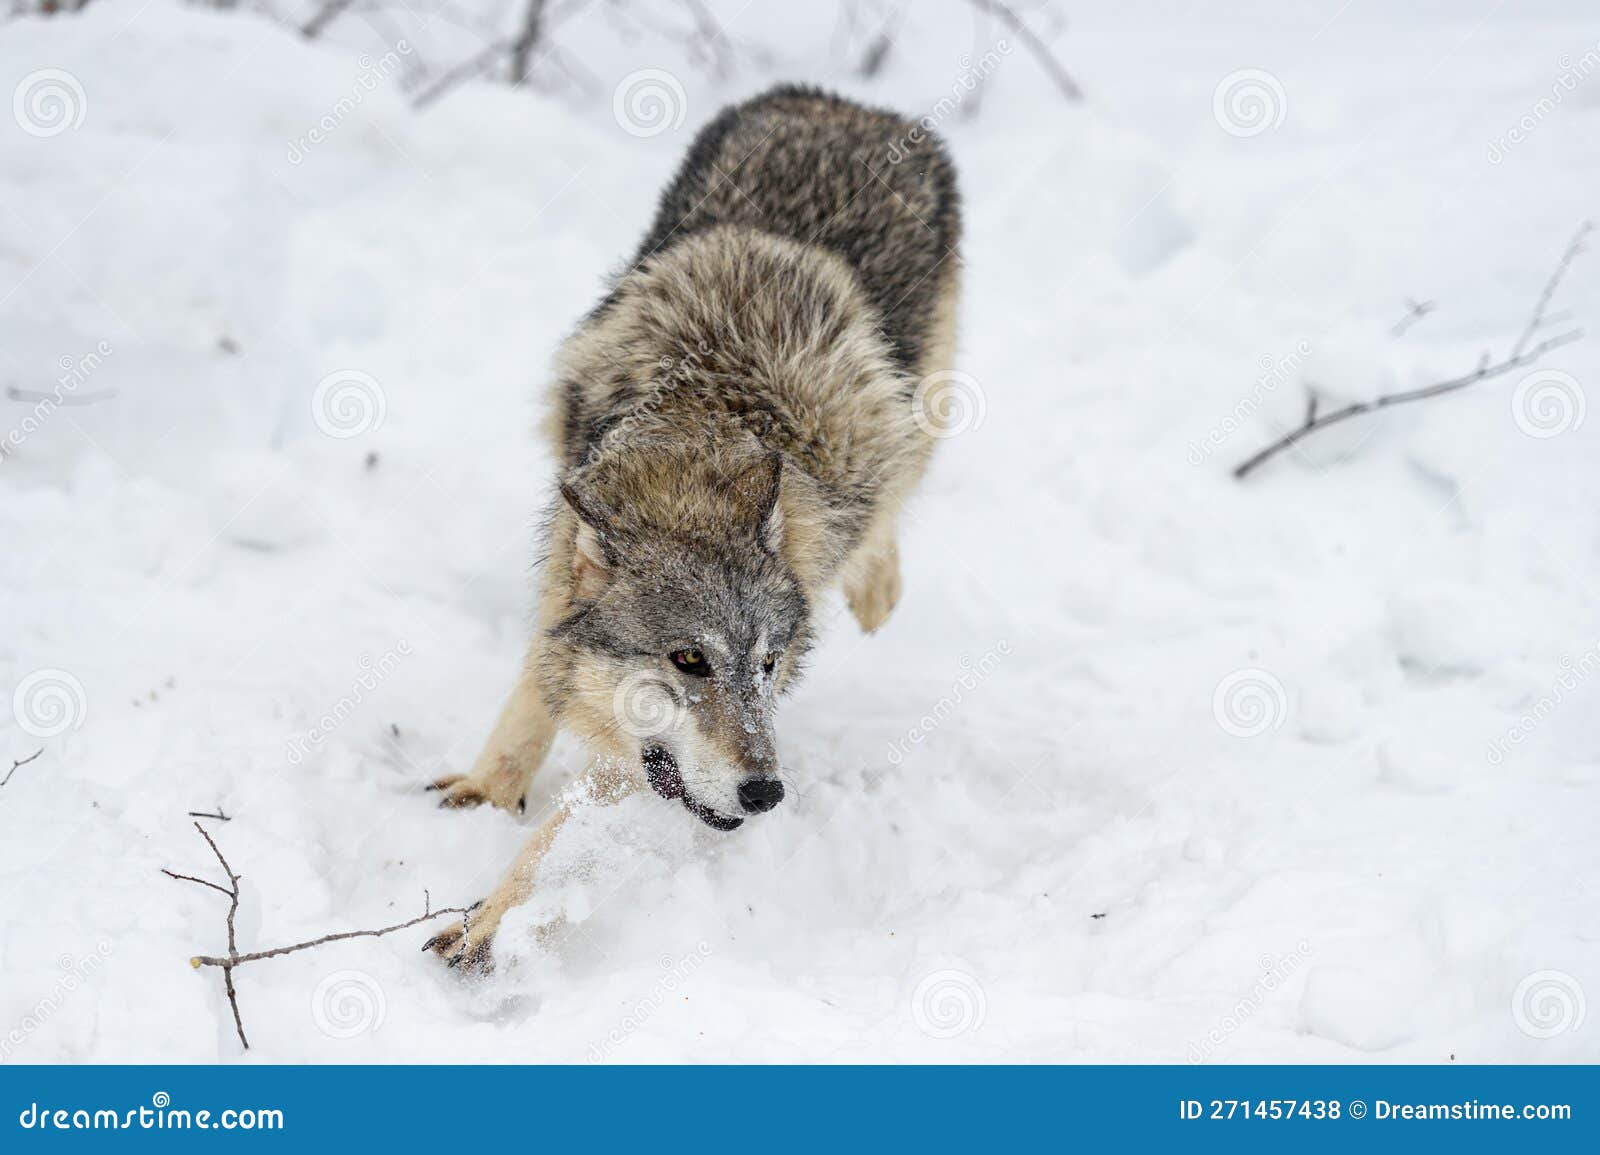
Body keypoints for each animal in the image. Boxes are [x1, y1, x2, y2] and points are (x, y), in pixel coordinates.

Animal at [423, 84, 960, 968]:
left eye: (770, 663)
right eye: (688, 660)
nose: (767, 791)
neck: (704, 427)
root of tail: (850, 104)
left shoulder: (638, 758)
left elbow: (560, 838)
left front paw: (492, 919)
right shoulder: (559, 583)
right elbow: (532, 700)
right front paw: (485, 792)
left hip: (919, 407)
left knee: (897, 494)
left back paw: (879, 589)